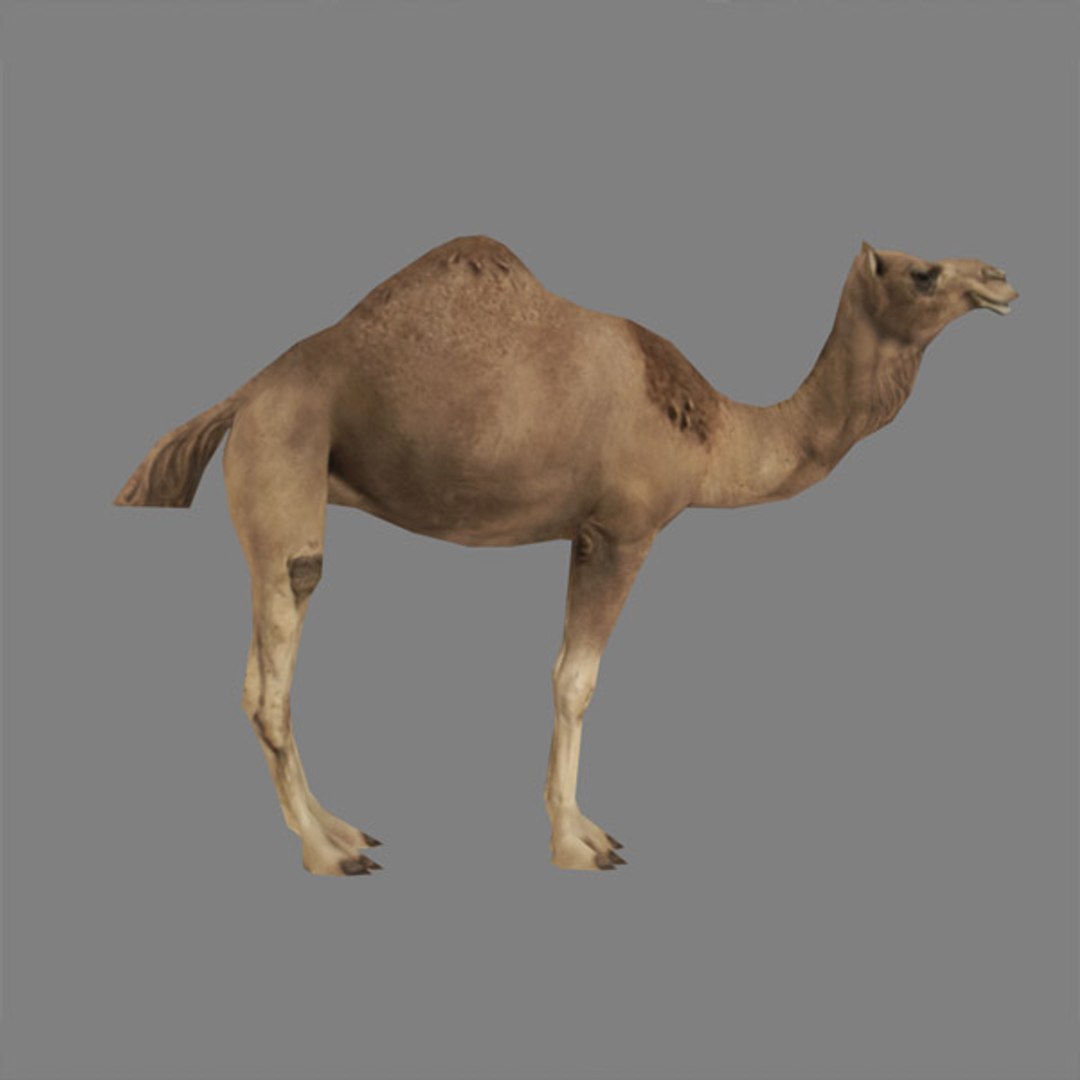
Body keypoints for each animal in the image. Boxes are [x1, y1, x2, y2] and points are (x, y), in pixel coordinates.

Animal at [115, 235, 1017, 875]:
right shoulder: (621, 530)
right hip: (285, 463)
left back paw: (343, 828)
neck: (718, 432)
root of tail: (243, 393)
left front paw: (583, 831)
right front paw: (577, 845)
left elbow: (564, 677)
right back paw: (327, 852)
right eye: (924, 272)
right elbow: (575, 682)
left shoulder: (586, 533)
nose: (1001, 278)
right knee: (273, 671)